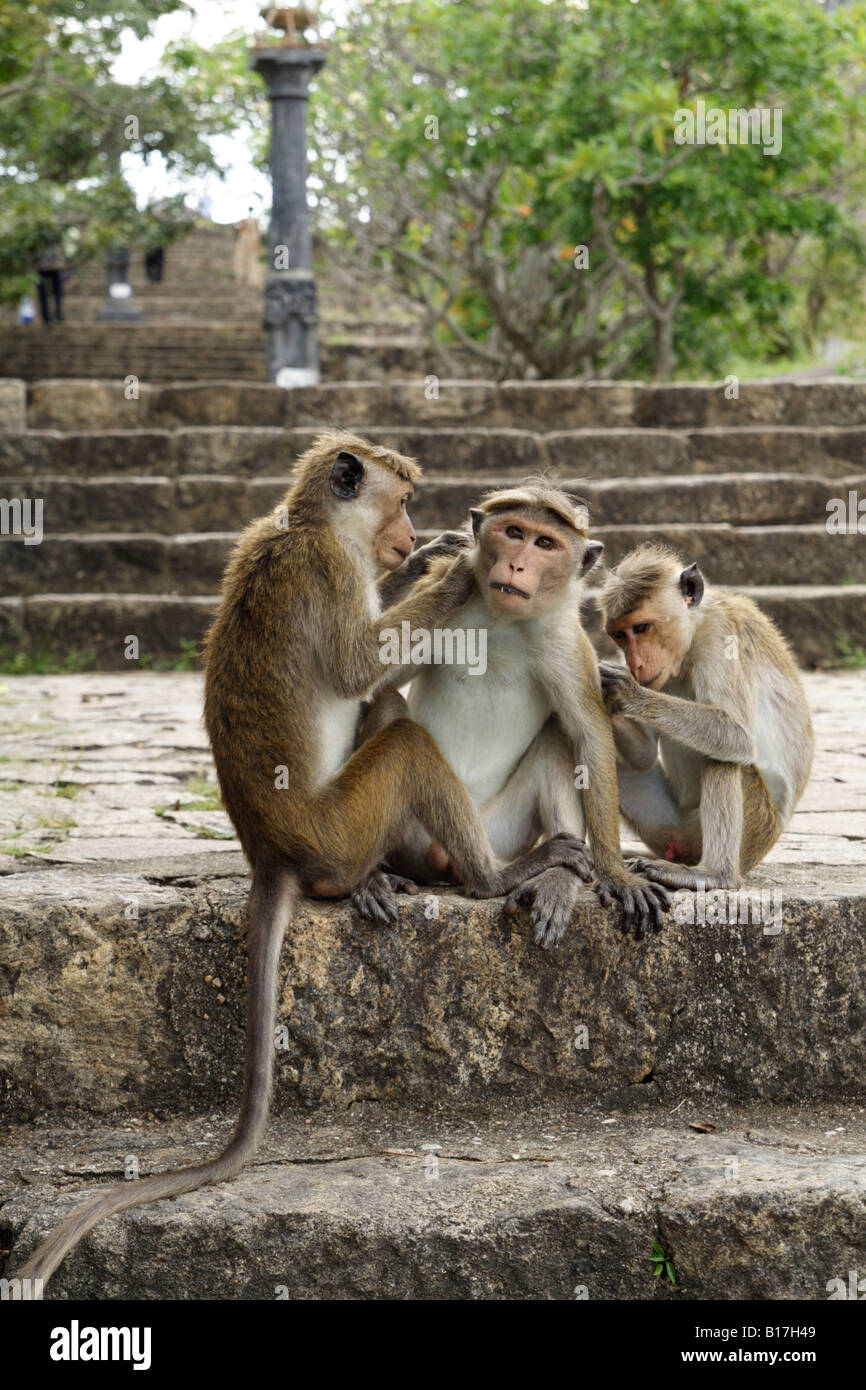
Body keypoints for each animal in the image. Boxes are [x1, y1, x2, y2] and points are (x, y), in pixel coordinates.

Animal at [12, 434, 591, 1293]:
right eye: (404, 497)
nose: (408, 533)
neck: (315, 524)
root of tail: (272, 855)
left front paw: (434, 562)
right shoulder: (329, 569)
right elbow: (355, 665)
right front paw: (453, 572)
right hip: (341, 825)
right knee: (404, 744)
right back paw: (493, 877)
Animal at [353, 481, 671, 947]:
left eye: (546, 544)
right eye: (514, 532)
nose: (517, 564)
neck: (502, 619)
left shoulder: (566, 643)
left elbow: (589, 735)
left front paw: (615, 874)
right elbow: (361, 681)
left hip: (502, 832)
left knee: (559, 736)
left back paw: (551, 878)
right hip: (413, 833)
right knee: (389, 706)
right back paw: (392, 876)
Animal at [595, 543, 814, 891]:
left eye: (641, 628)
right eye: (619, 635)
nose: (637, 664)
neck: (693, 635)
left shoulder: (721, 638)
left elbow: (738, 735)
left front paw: (629, 692)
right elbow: (643, 757)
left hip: (754, 831)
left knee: (725, 756)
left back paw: (713, 874)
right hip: (668, 825)